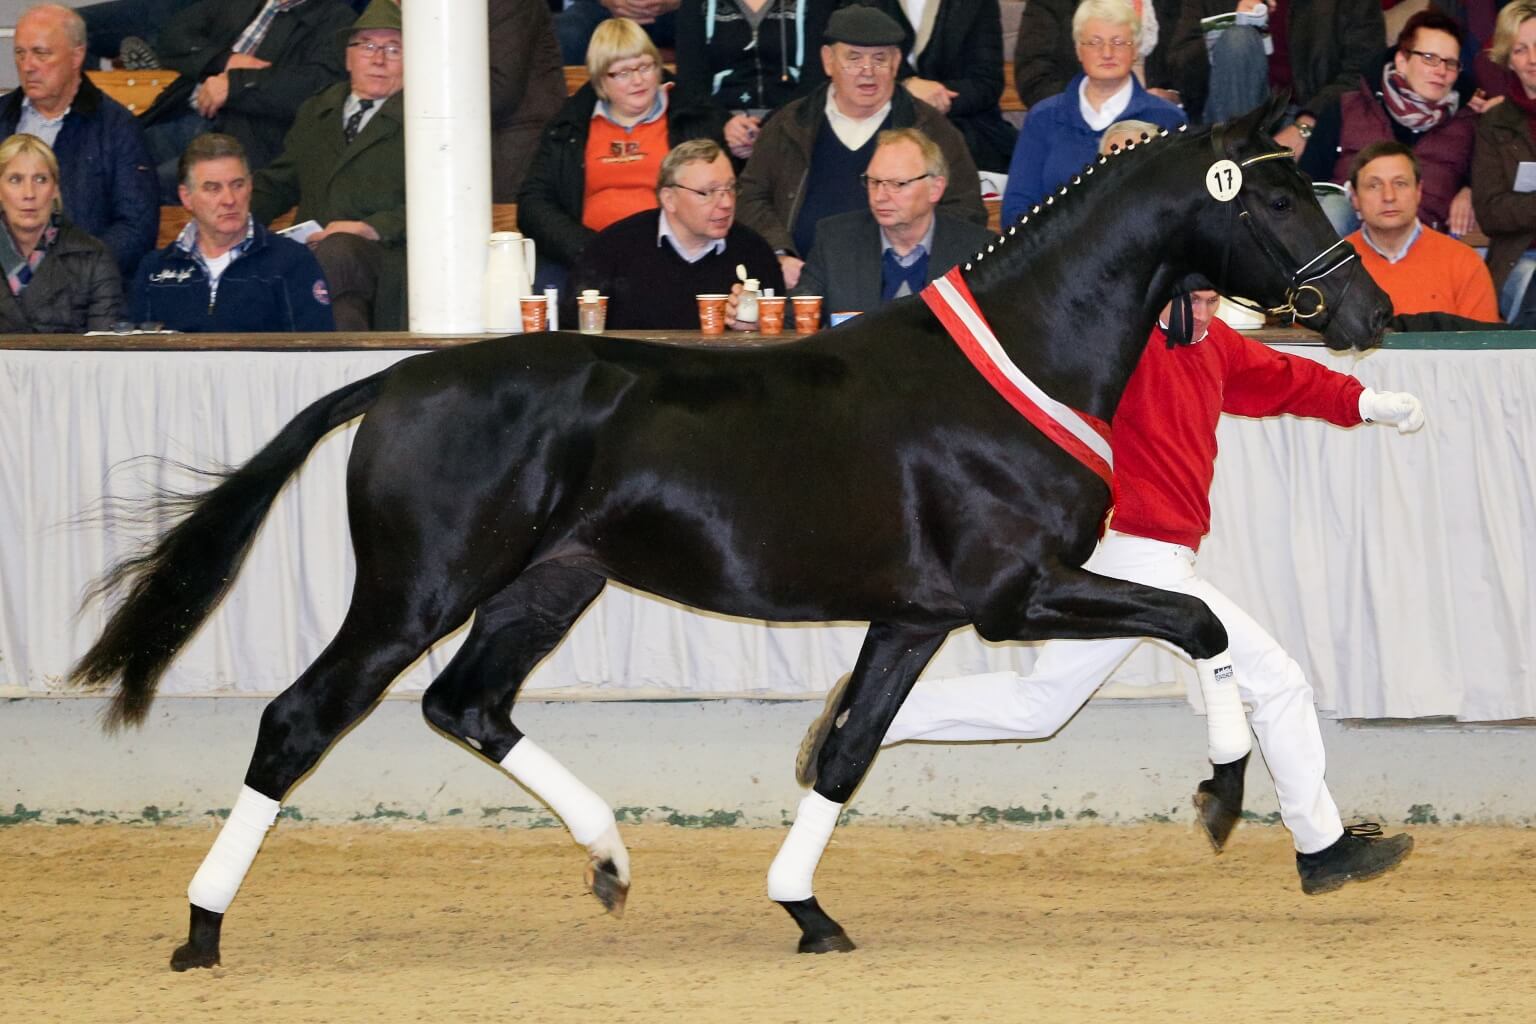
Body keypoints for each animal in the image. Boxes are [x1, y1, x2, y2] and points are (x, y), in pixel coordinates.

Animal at [70, 95, 1390, 968]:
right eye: (1276, 195)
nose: (1370, 311)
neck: (1020, 356)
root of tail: (396, 379)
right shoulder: (1016, 594)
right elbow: (1200, 619)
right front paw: (1222, 791)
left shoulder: (915, 617)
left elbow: (850, 749)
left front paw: (806, 909)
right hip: (416, 589)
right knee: (301, 719)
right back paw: (200, 931)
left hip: (548, 583)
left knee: (468, 704)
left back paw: (610, 857)